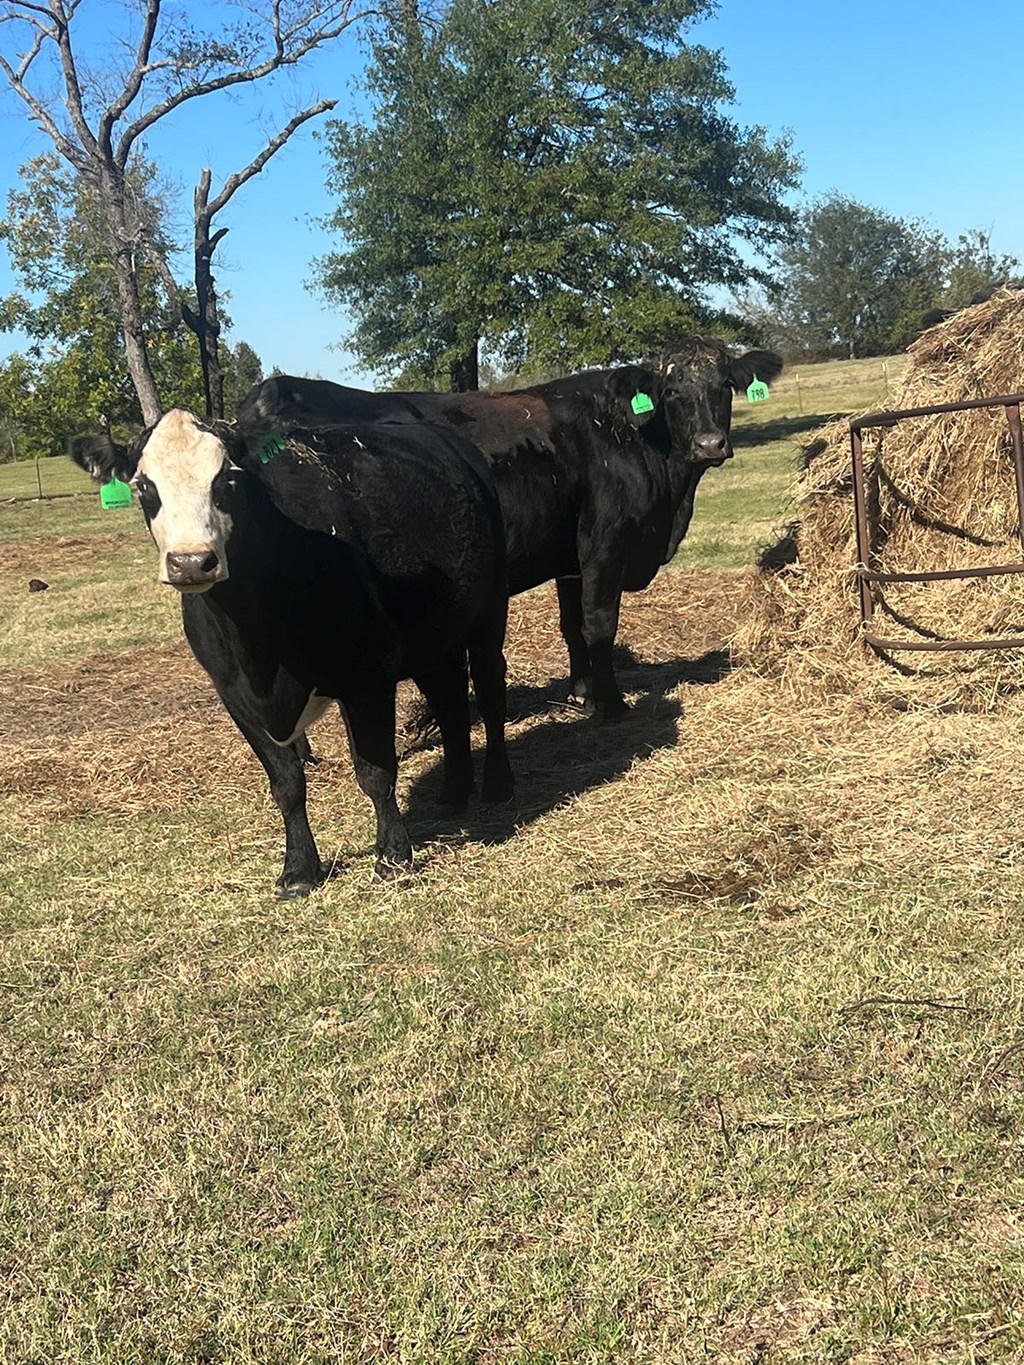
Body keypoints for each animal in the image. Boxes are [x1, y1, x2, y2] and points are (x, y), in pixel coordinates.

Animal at [69, 410, 514, 897]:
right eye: (143, 485)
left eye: (227, 479)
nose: (190, 562)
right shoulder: (234, 695)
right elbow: (286, 783)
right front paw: (299, 868)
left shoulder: (368, 677)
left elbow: (376, 772)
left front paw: (394, 855)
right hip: (436, 636)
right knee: (450, 701)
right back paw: (454, 793)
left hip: (490, 611)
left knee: (489, 691)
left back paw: (497, 785)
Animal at [238, 338, 783, 718]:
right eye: (670, 391)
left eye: (724, 386)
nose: (710, 444)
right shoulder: (604, 545)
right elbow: (599, 625)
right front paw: (610, 705)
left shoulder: (569, 557)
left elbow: (571, 627)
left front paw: (582, 694)